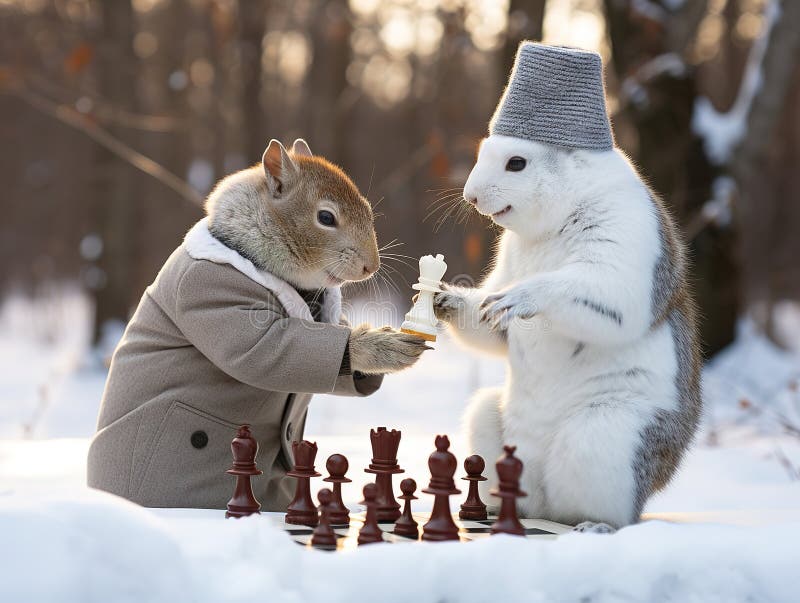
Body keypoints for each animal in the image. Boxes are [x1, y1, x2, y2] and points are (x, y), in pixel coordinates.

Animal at [206, 138, 428, 374]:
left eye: (368, 209)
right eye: (326, 217)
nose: (372, 267)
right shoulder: (225, 298)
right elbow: (267, 348)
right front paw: (381, 346)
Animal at [434, 134, 702, 530]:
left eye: (517, 162)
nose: (472, 197)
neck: (545, 231)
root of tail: (548, 508)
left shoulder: (629, 227)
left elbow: (613, 292)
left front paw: (525, 295)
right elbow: (491, 321)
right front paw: (445, 299)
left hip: (608, 438)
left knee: (615, 511)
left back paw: (596, 525)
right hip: (488, 423)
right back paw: (501, 511)